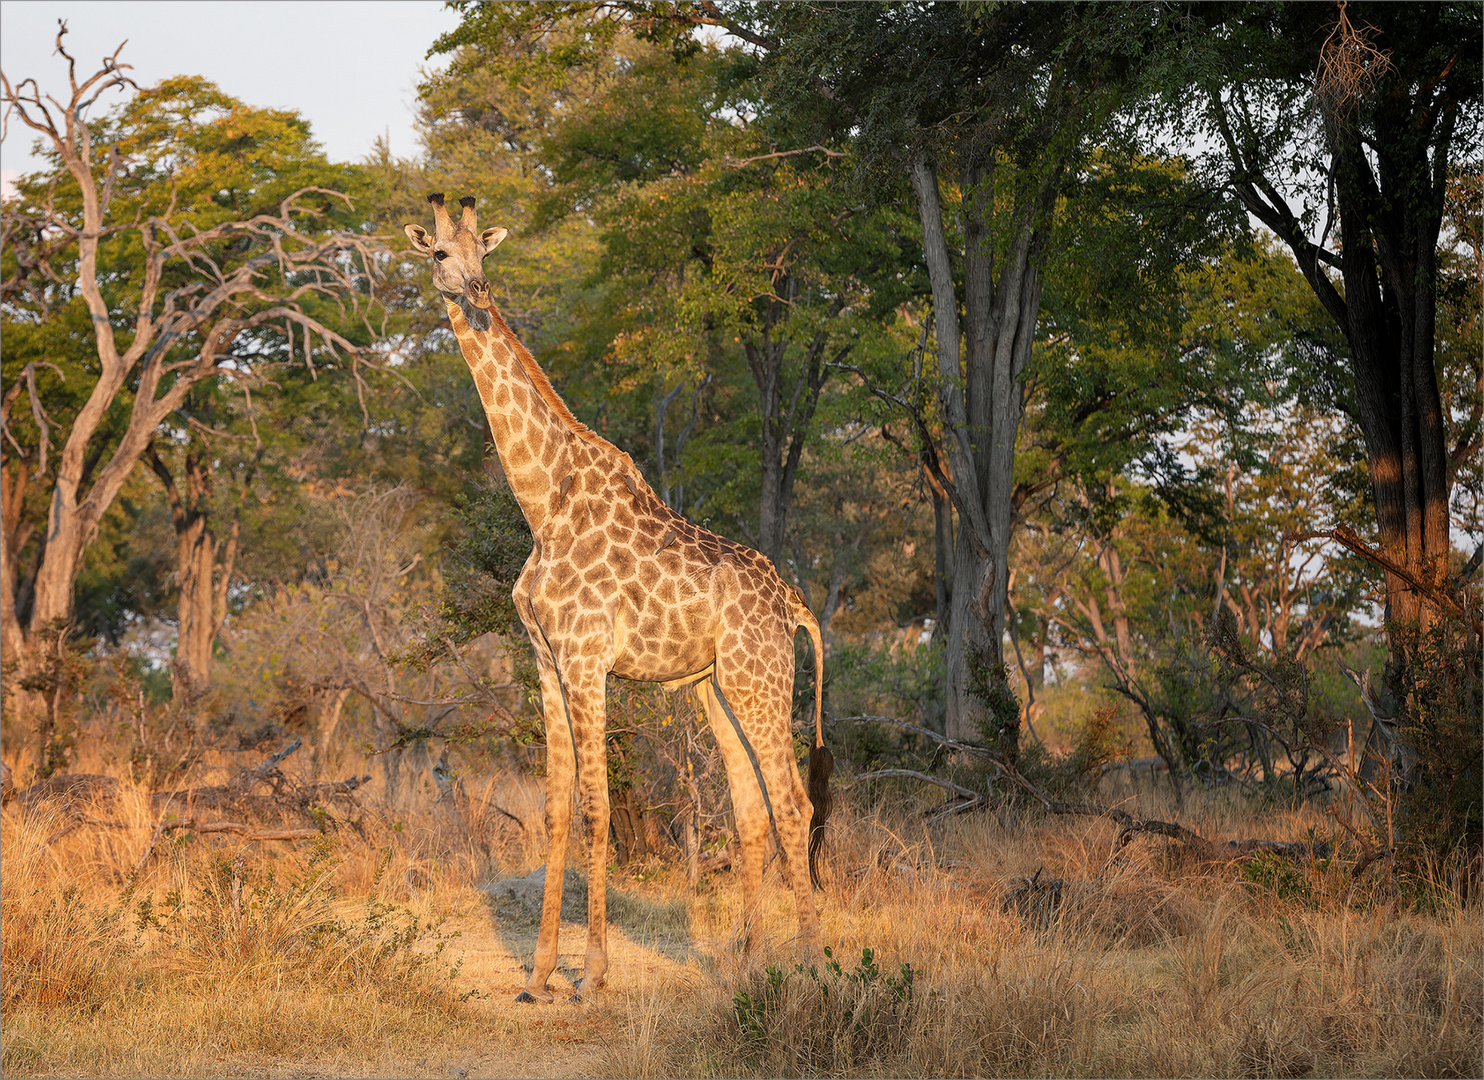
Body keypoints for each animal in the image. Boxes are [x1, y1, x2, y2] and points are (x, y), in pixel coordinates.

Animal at [406, 191, 836, 1002]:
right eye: (441, 253)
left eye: (483, 250)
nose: (475, 291)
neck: (542, 502)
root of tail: (795, 606)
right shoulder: (546, 661)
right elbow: (555, 809)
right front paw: (540, 974)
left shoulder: (585, 659)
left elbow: (599, 809)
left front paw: (593, 975)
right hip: (715, 687)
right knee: (750, 808)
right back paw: (750, 960)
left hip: (759, 679)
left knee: (793, 802)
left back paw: (809, 963)